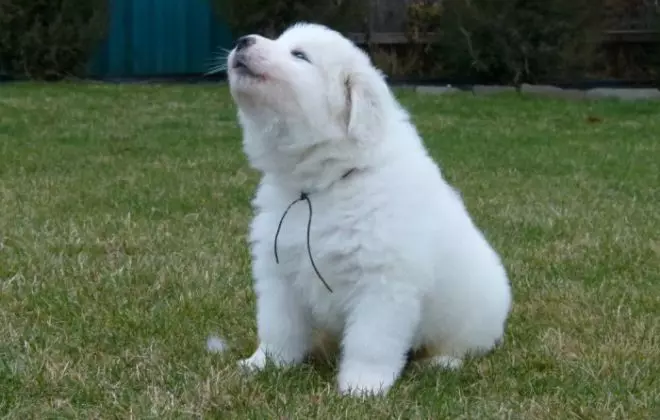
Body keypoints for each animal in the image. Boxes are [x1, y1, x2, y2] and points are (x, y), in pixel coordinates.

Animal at [226, 23, 510, 398]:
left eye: (299, 55)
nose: (243, 41)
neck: (325, 183)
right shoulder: (280, 272)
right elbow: (279, 327)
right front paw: (265, 364)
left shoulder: (382, 283)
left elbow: (370, 341)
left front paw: (363, 386)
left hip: (471, 320)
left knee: (460, 347)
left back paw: (441, 363)